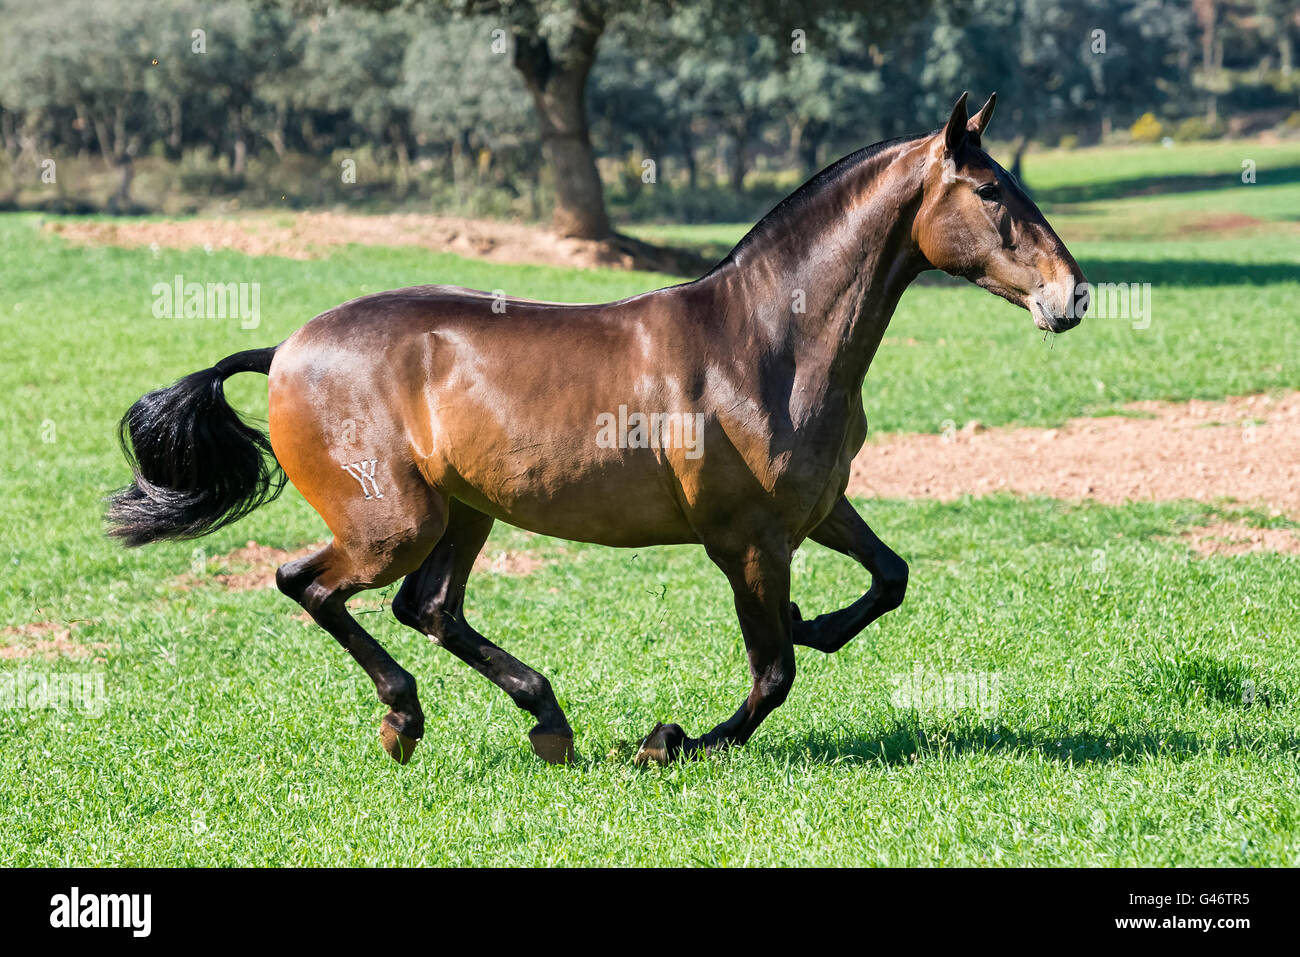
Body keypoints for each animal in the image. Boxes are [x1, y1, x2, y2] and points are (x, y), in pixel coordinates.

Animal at [107, 93, 1086, 766]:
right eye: (991, 190)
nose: (1071, 296)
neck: (767, 340)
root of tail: (284, 351)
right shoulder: (746, 539)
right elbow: (773, 675)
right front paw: (672, 740)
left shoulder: (815, 511)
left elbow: (889, 578)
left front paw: (813, 622)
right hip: (393, 523)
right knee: (309, 584)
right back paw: (406, 717)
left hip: (466, 513)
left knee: (428, 605)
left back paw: (545, 719)